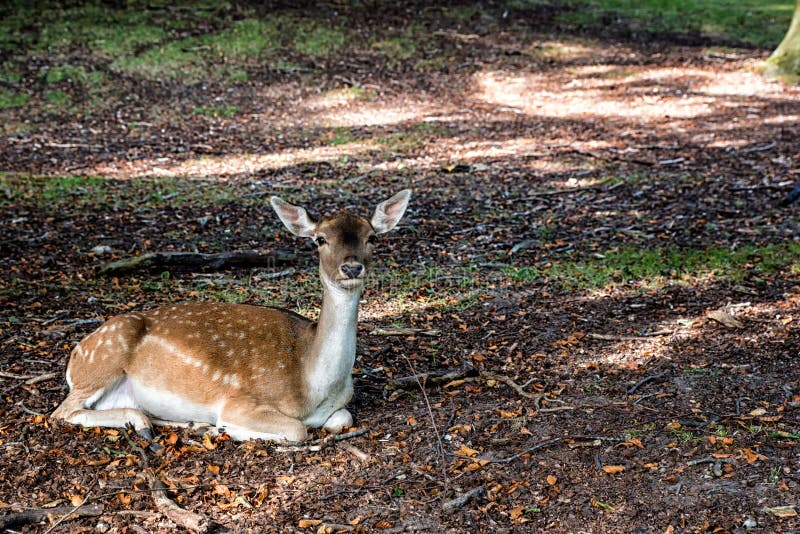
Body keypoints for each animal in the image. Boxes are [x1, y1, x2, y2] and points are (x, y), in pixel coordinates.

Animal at [52, 189, 411, 443]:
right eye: (320, 239)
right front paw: (220, 429)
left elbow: (343, 418)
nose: (351, 267)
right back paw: (153, 425)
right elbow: (297, 431)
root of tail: (74, 356)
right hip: (100, 364)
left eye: (372, 237)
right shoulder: (241, 402)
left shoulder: (338, 408)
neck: (313, 388)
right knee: (62, 412)